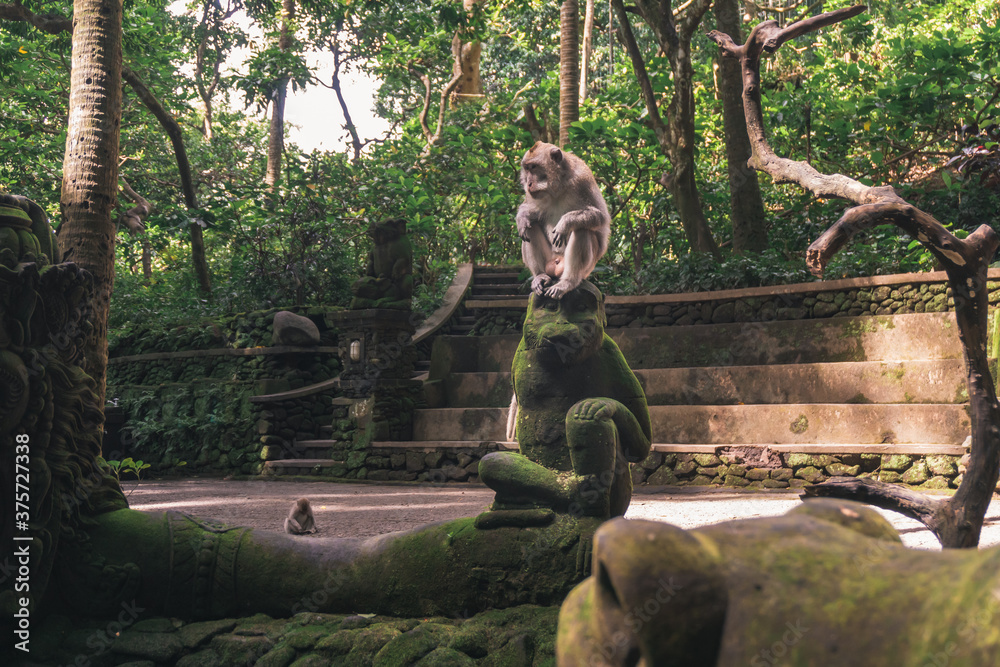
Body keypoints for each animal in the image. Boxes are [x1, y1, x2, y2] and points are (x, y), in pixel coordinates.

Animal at [516, 142, 610, 300]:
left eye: (534, 167)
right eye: (527, 168)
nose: (528, 183)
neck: (556, 187)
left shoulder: (582, 180)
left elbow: (601, 217)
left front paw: (565, 223)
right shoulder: (533, 195)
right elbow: (529, 209)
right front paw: (522, 218)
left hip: (586, 269)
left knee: (582, 230)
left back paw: (568, 282)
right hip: (549, 260)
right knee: (530, 228)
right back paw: (539, 276)